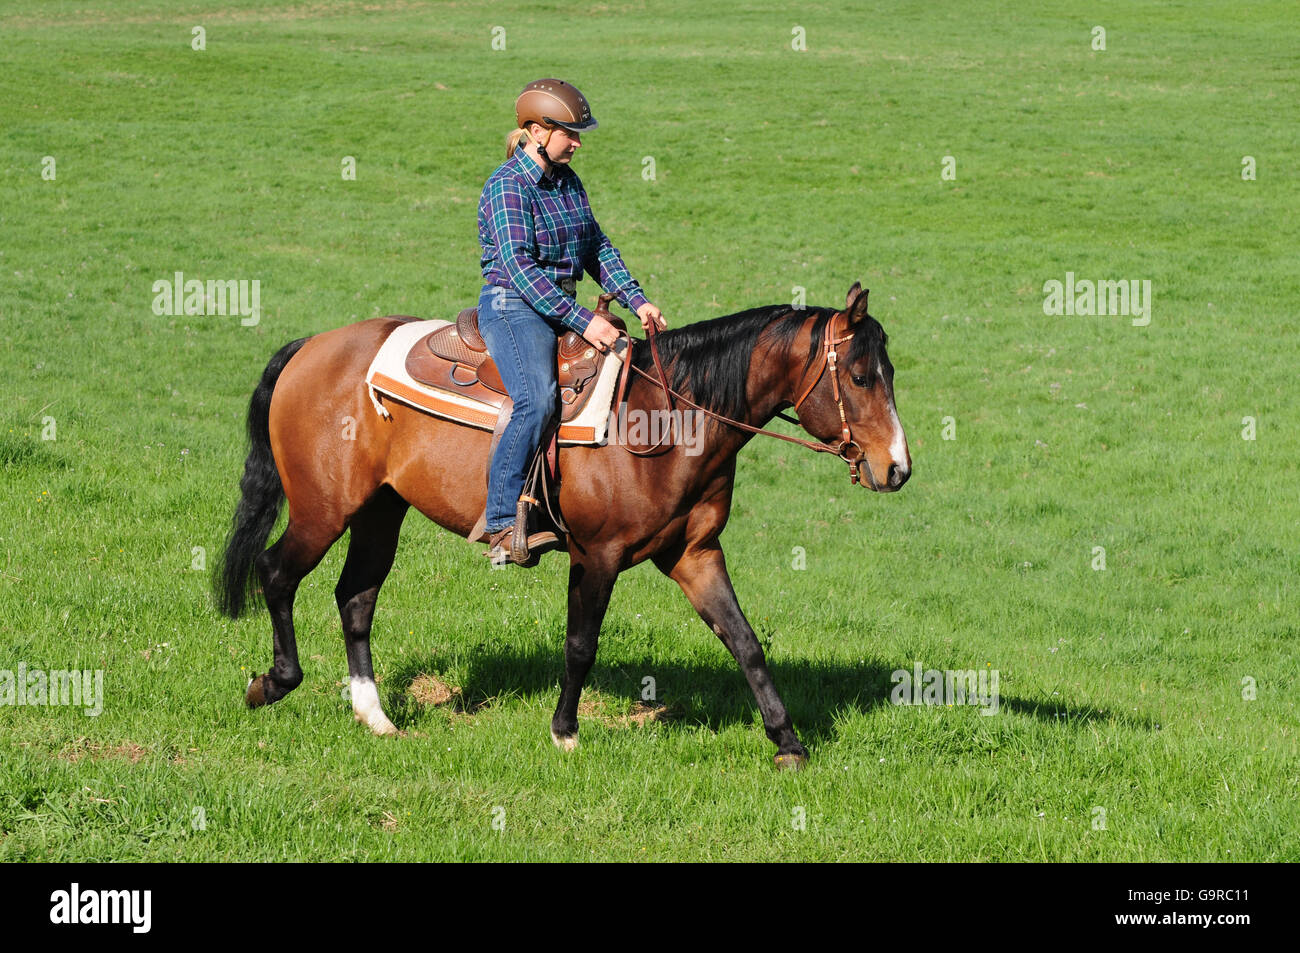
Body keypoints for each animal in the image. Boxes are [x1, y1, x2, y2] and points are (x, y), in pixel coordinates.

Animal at [213, 281, 910, 769]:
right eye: (859, 375)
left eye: (890, 372)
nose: (897, 468)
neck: (663, 417)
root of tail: (311, 347)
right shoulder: (596, 555)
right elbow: (580, 645)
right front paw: (565, 733)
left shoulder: (696, 555)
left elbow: (745, 642)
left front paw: (787, 742)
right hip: (322, 509)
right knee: (275, 573)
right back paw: (271, 684)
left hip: (380, 511)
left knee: (355, 597)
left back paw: (375, 716)